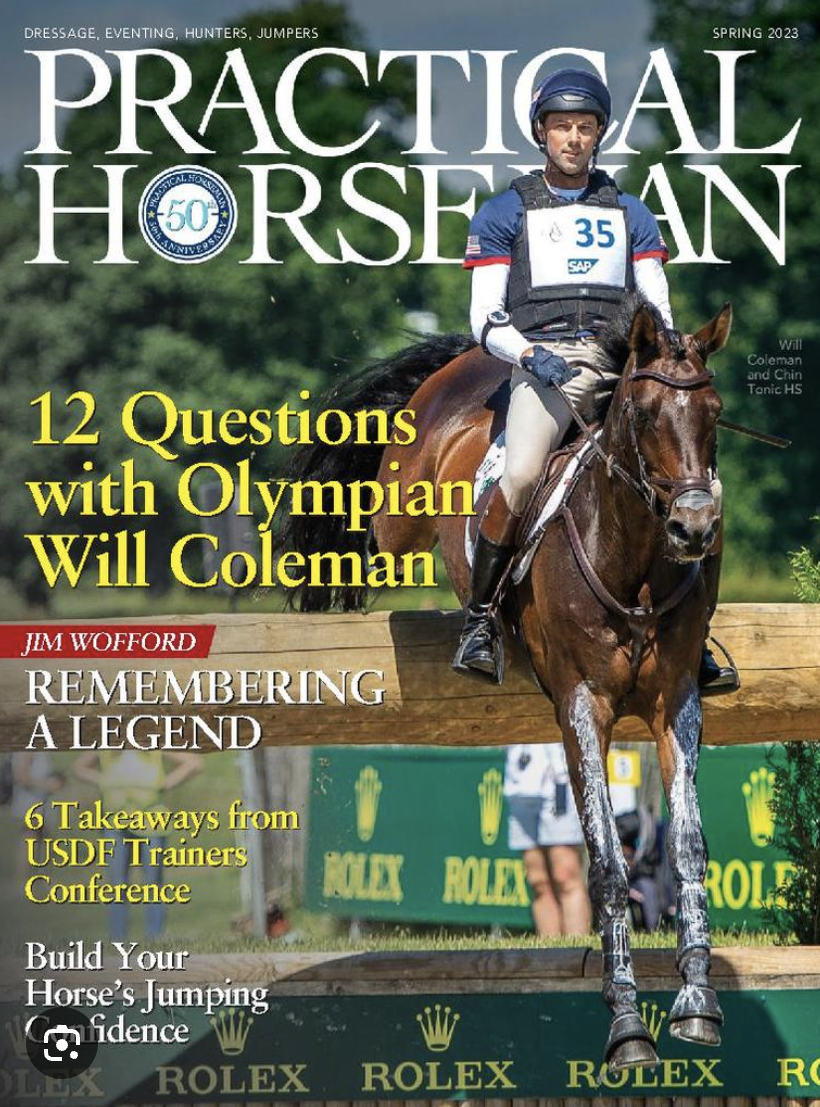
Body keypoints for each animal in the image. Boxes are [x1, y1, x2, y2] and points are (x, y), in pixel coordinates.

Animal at [280, 296, 731, 1072]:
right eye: (644, 414)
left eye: (714, 412)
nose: (695, 526)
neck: (634, 559)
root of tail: (471, 361)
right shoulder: (582, 705)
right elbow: (608, 866)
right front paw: (626, 1025)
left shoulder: (677, 703)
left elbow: (687, 848)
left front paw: (697, 1002)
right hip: (399, 511)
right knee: (377, 521)